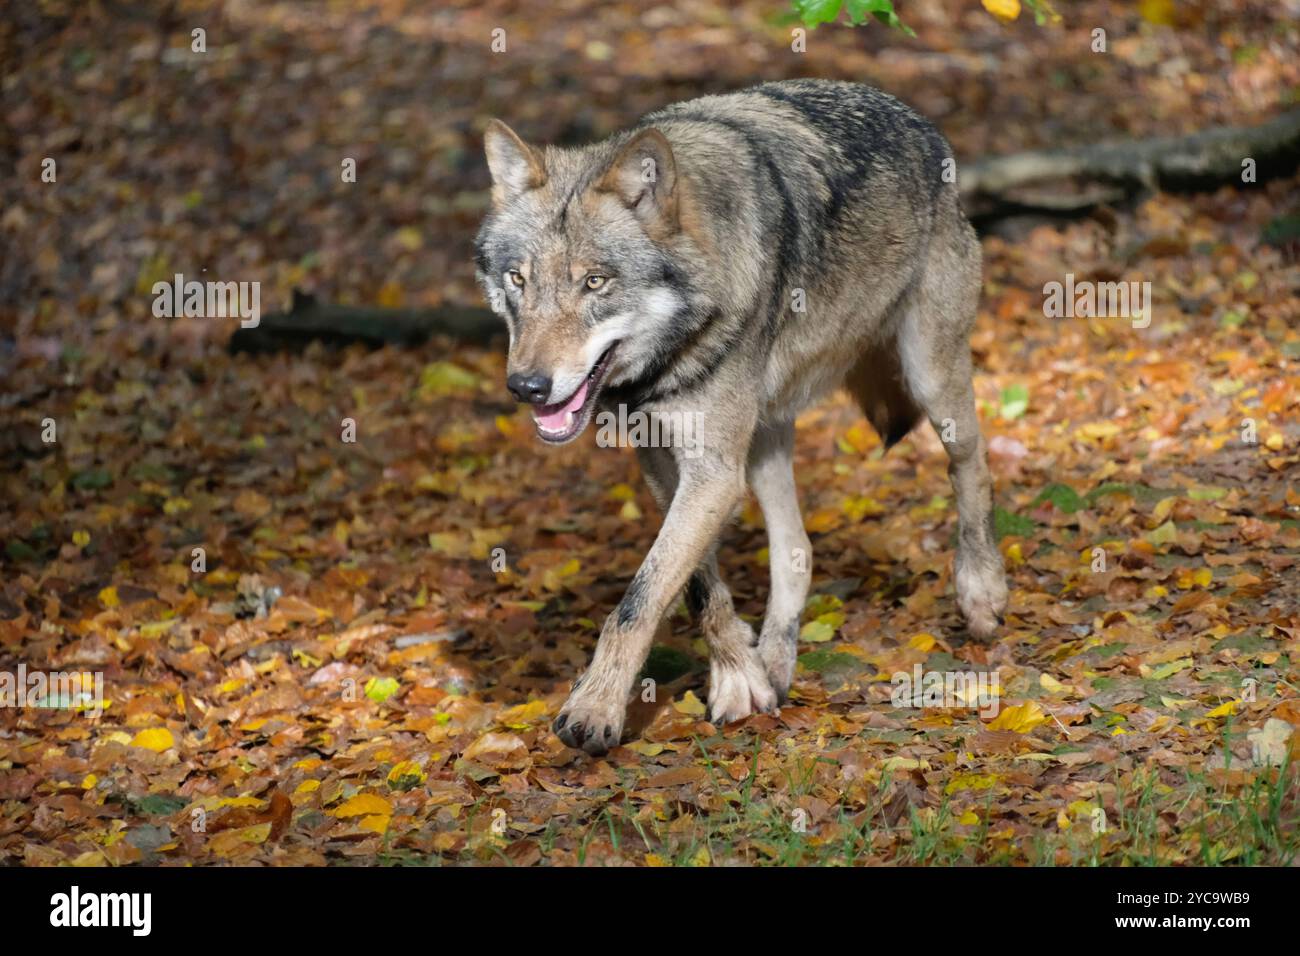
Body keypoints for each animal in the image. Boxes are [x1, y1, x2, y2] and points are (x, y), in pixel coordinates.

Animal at [475, 79, 1008, 755]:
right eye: (518, 280)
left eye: (595, 282)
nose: (527, 386)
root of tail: (914, 117)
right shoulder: (666, 464)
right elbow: (696, 588)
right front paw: (739, 679)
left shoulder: (712, 472)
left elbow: (638, 600)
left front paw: (594, 710)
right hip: (765, 440)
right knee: (798, 550)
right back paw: (775, 665)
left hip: (930, 381)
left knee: (973, 466)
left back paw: (981, 593)